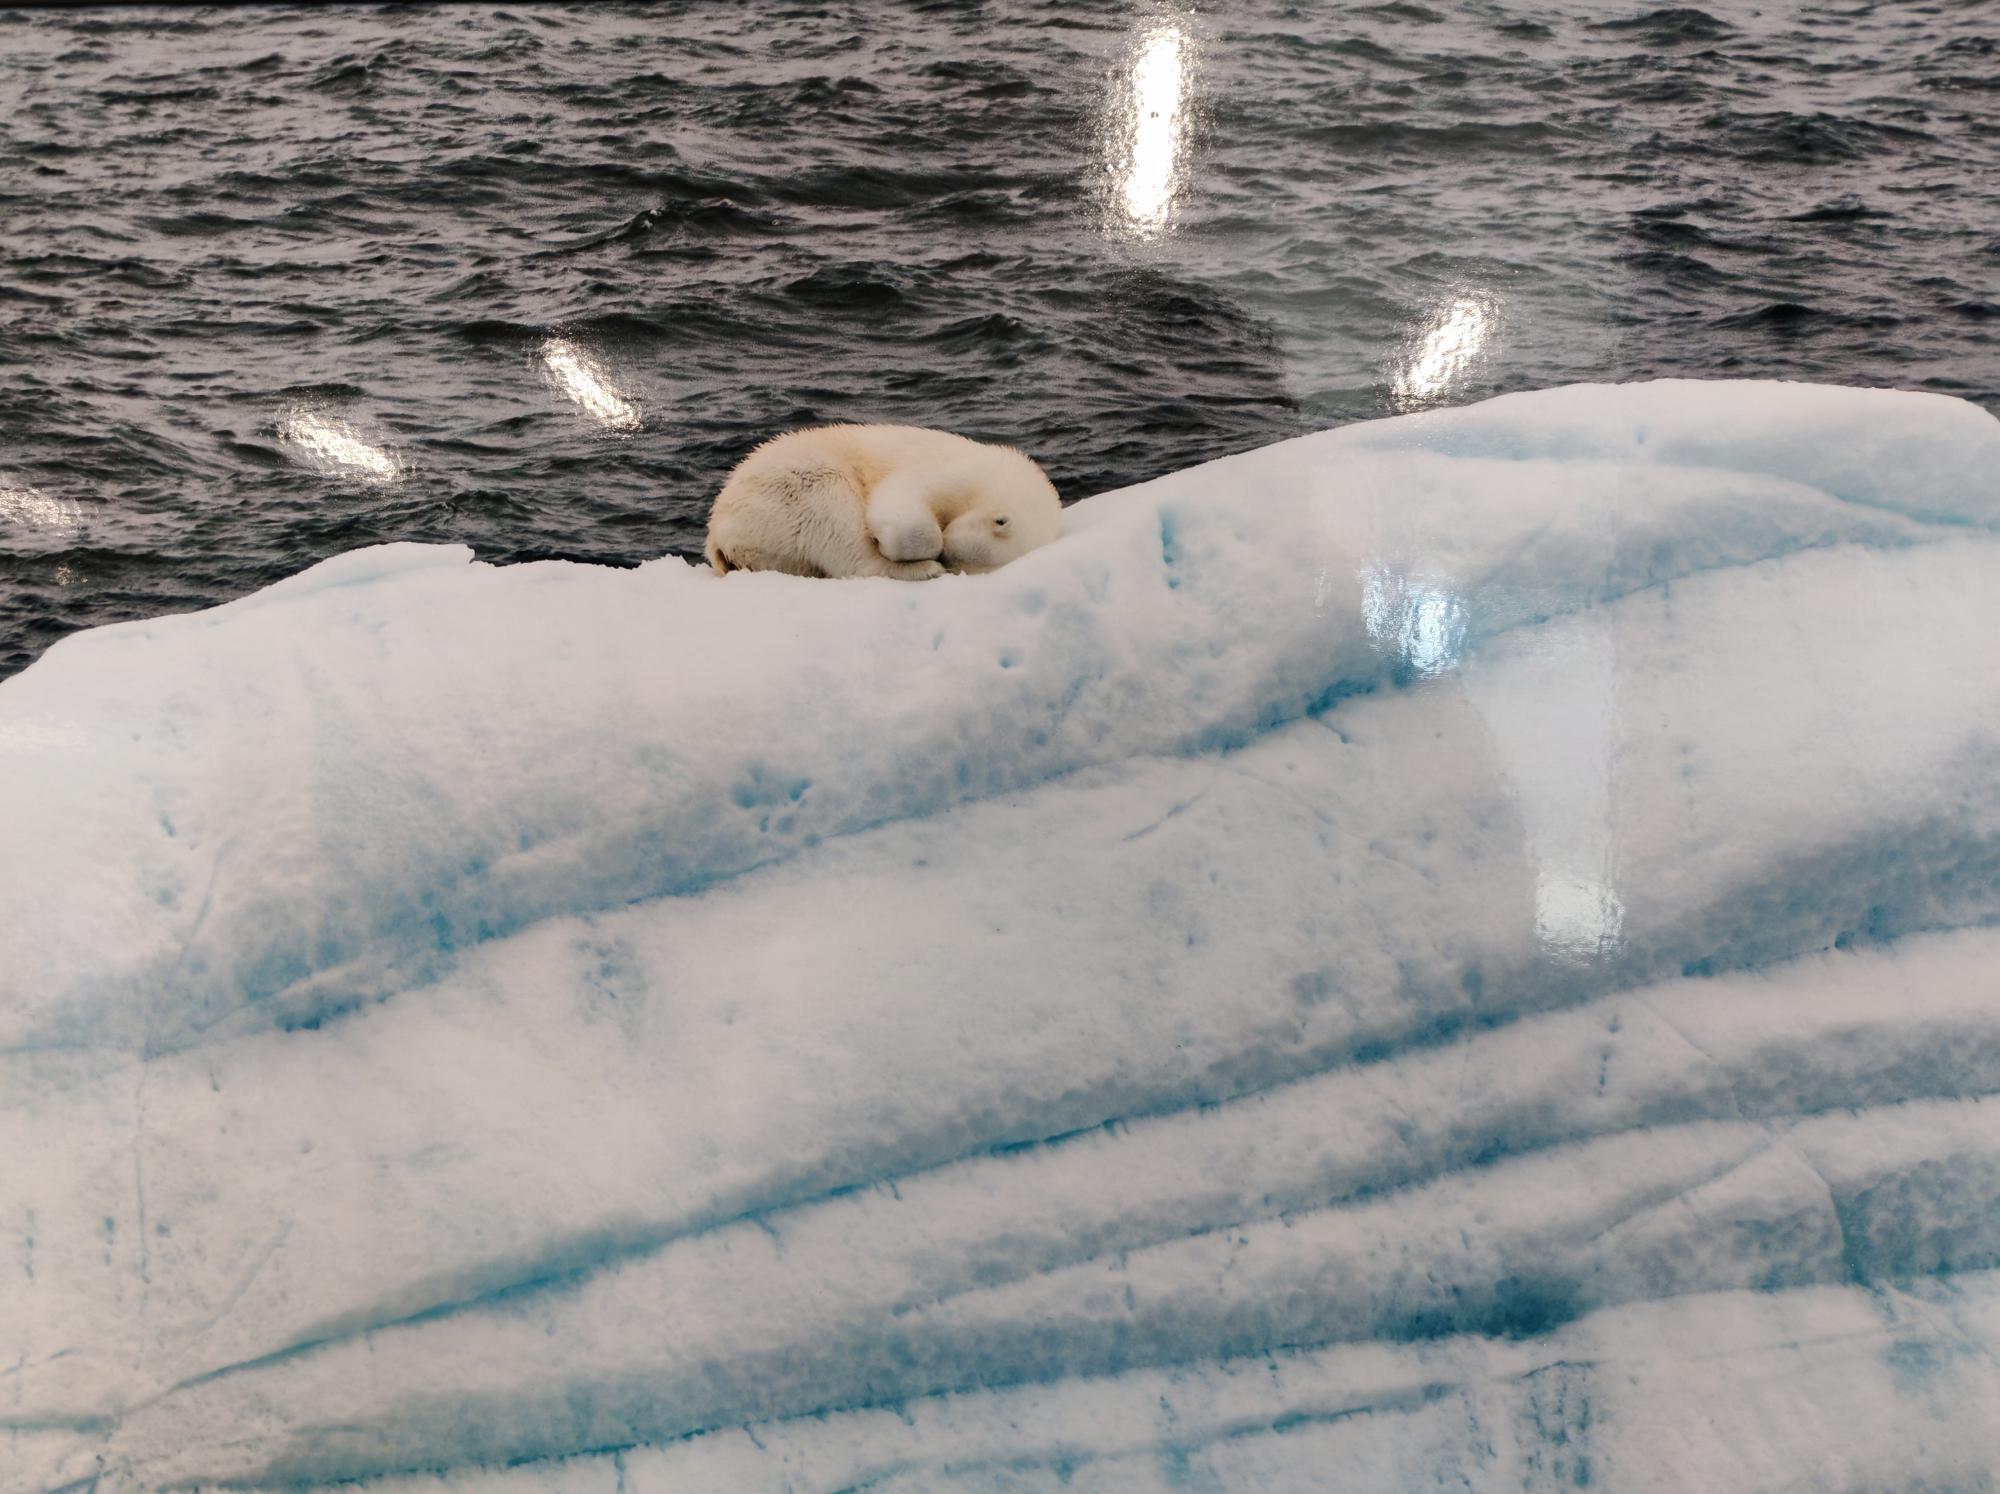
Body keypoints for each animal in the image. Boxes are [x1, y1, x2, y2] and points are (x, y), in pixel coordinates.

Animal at [704, 426, 1064, 584]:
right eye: (949, 552)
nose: (944, 559)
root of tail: (718, 534)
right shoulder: (954, 471)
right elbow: (900, 501)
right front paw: (904, 548)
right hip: (794, 483)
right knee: (838, 526)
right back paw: (922, 570)